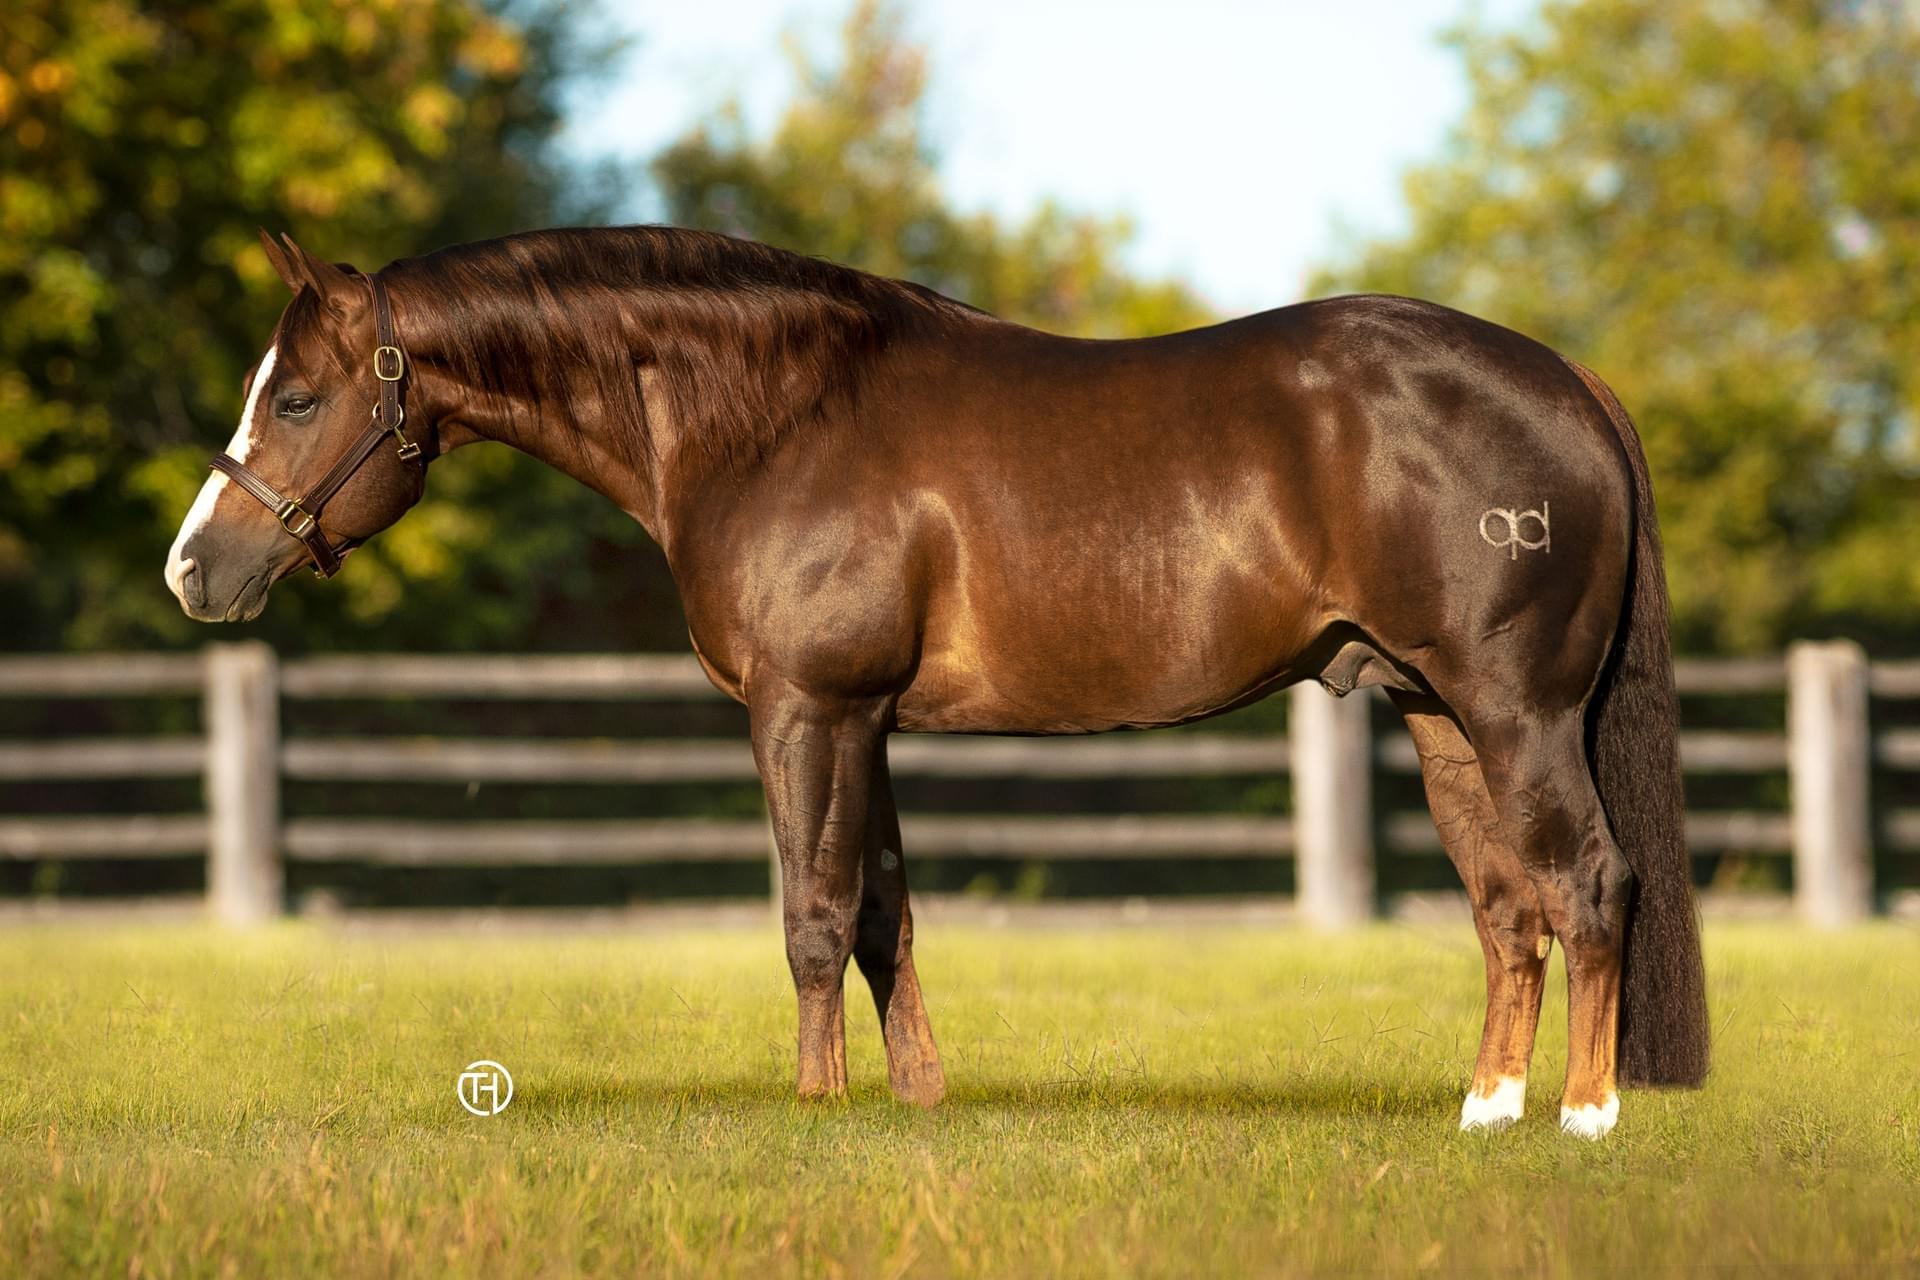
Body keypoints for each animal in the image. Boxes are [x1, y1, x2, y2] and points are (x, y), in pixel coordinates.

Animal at [164, 226, 1709, 1138]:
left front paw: (814, 1110)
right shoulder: (867, 723)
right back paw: (1487, 1112)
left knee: (1587, 883)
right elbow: (883, 917)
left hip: (1516, 714)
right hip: (1437, 714)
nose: (194, 568)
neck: (772, 414)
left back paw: (1585, 1120)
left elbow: (810, 917)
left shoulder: (806, 709)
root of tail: (1569, 383)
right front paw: (911, 1105)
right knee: (1508, 907)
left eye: (294, 396)